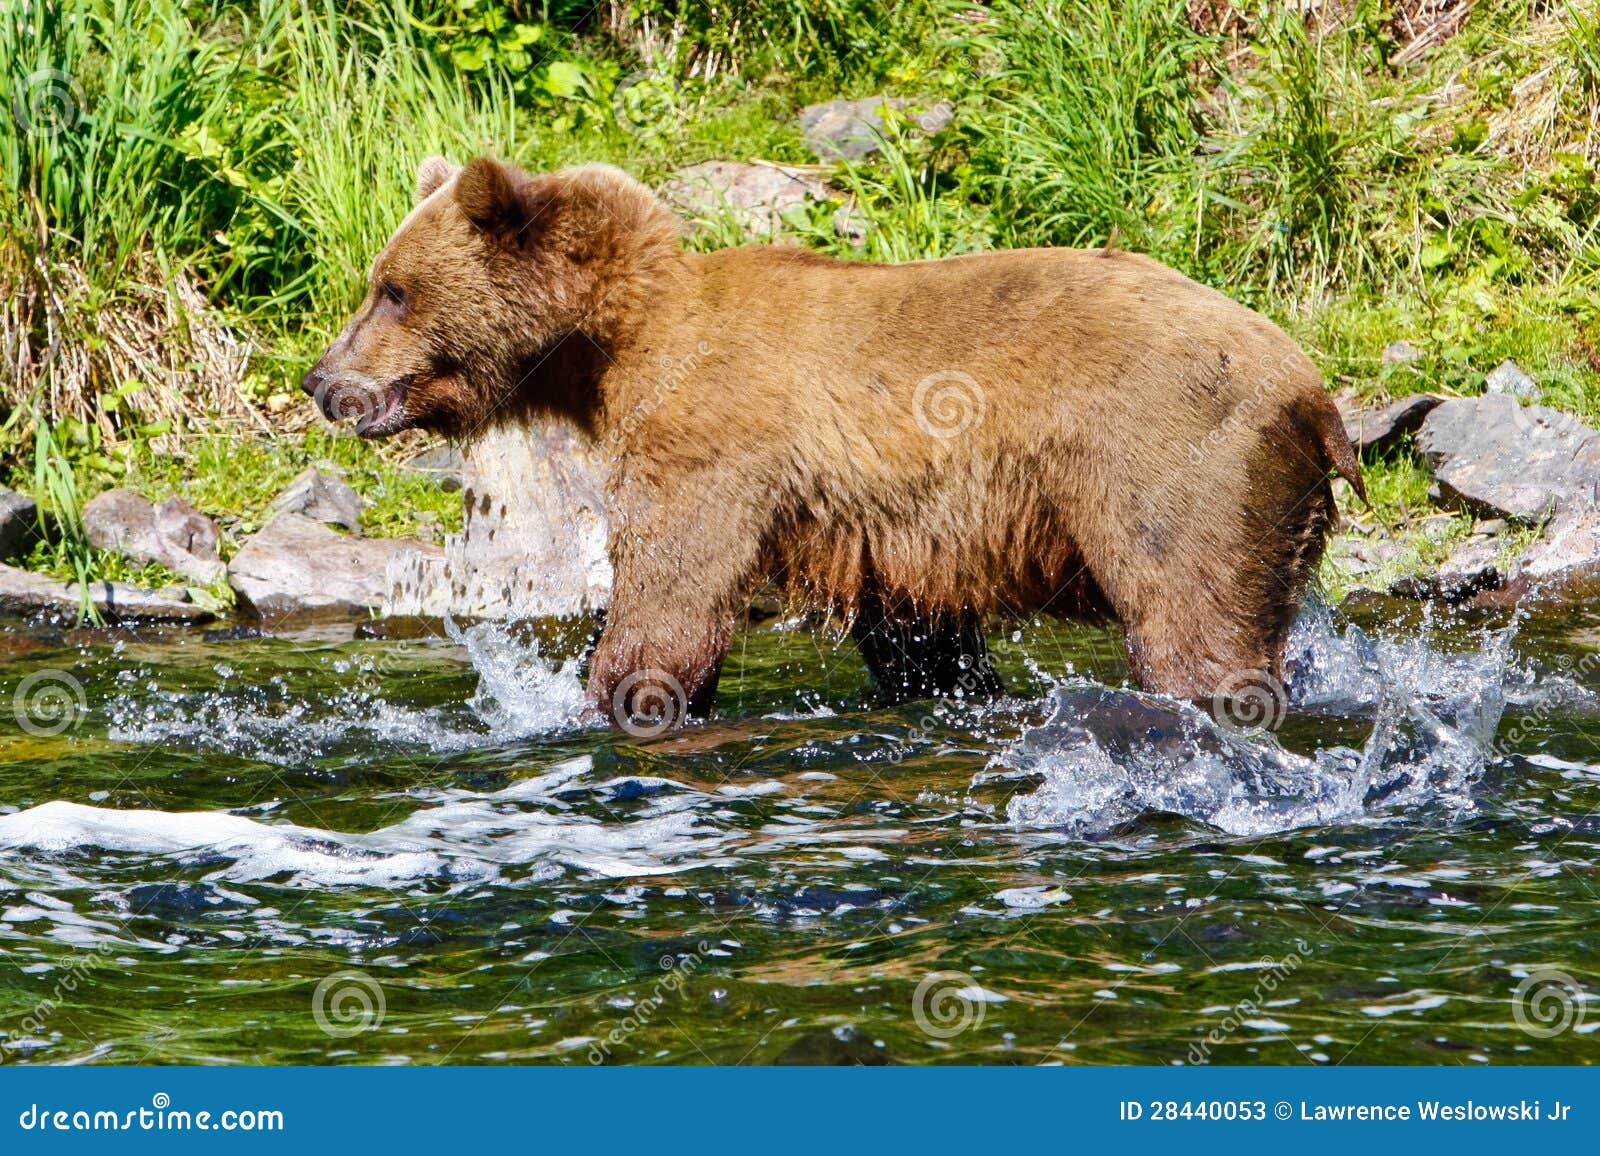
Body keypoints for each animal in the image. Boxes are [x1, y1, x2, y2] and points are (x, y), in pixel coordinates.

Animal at [302, 155, 1365, 732]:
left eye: (391, 288)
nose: (320, 382)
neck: (608, 350)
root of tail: (1314, 392)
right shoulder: (895, 531)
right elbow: (920, 641)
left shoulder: (710, 444)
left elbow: (669, 602)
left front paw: (606, 698)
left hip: (1178, 460)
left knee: (1194, 620)